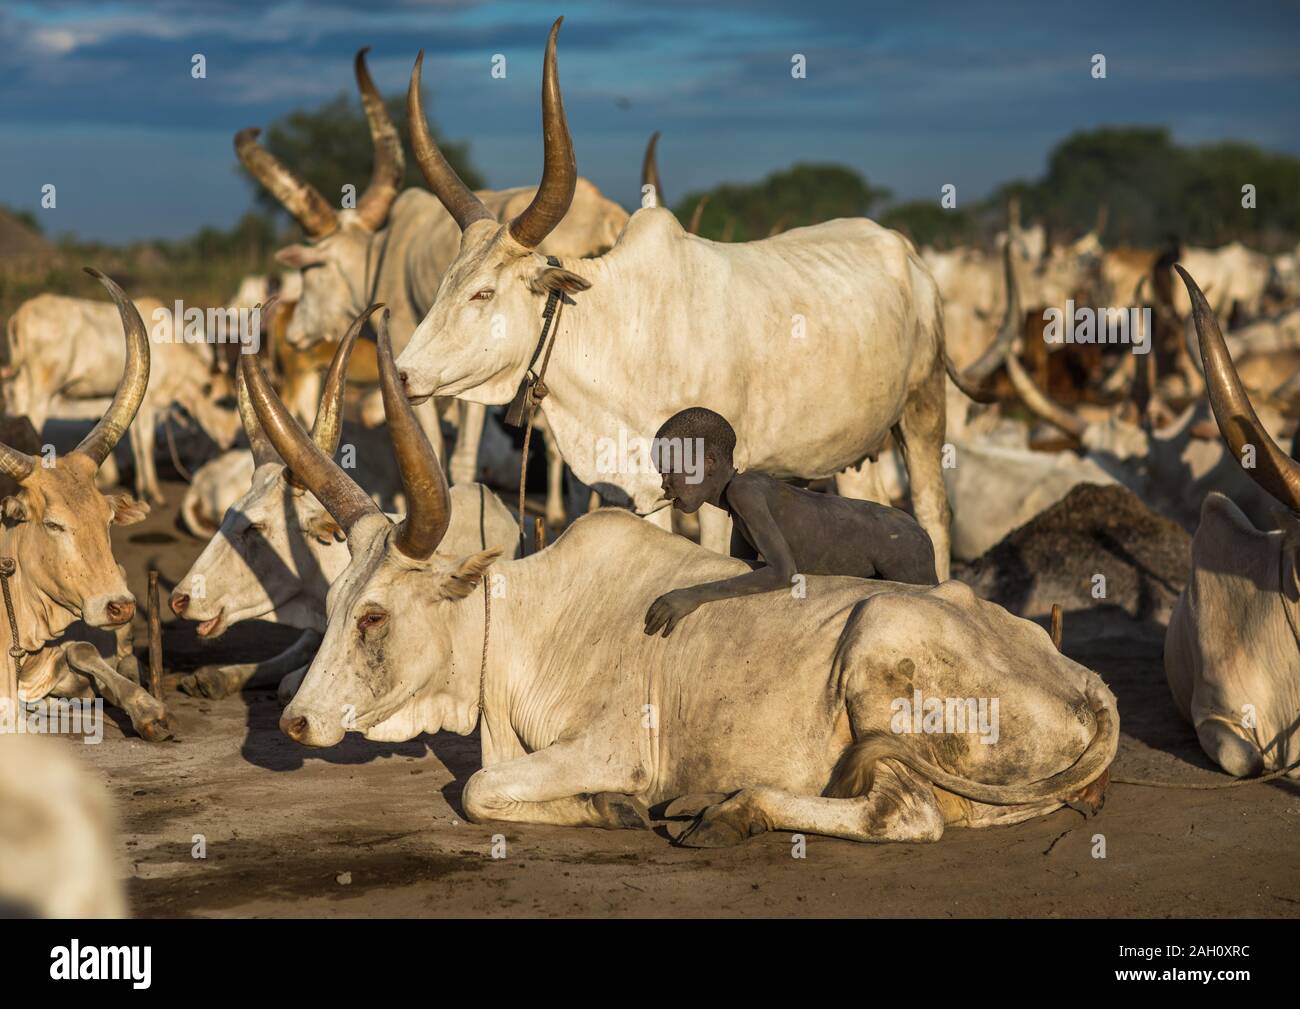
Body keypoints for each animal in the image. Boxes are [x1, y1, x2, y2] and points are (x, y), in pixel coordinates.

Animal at [3, 292, 240, 505]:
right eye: (224, 402)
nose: (231, 442)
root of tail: (22, 314)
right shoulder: (149, 402)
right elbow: (146, 444)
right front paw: (154, 493)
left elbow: (136, 444)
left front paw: (142, 489)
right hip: (43, 389)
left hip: (22, 383)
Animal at [244, 314, 1118, 846]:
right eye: (334, 604)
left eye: (375, 616)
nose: (295, 721)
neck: (519, 624)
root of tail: (1085, 682)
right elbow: (487, 786)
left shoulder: (608, 746)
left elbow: (480, 790)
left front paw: (619, 806)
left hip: (881, 642)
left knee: (906, 815)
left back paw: (731, 809)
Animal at [395, 18, 997, 578]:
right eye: (446, 282)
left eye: (484, 292)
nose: (402, 374)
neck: (623, 330)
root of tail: (906, 252)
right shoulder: (639, 486)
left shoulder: (713, 483)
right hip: (851, 449)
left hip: (924, 409)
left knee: (933, 513)